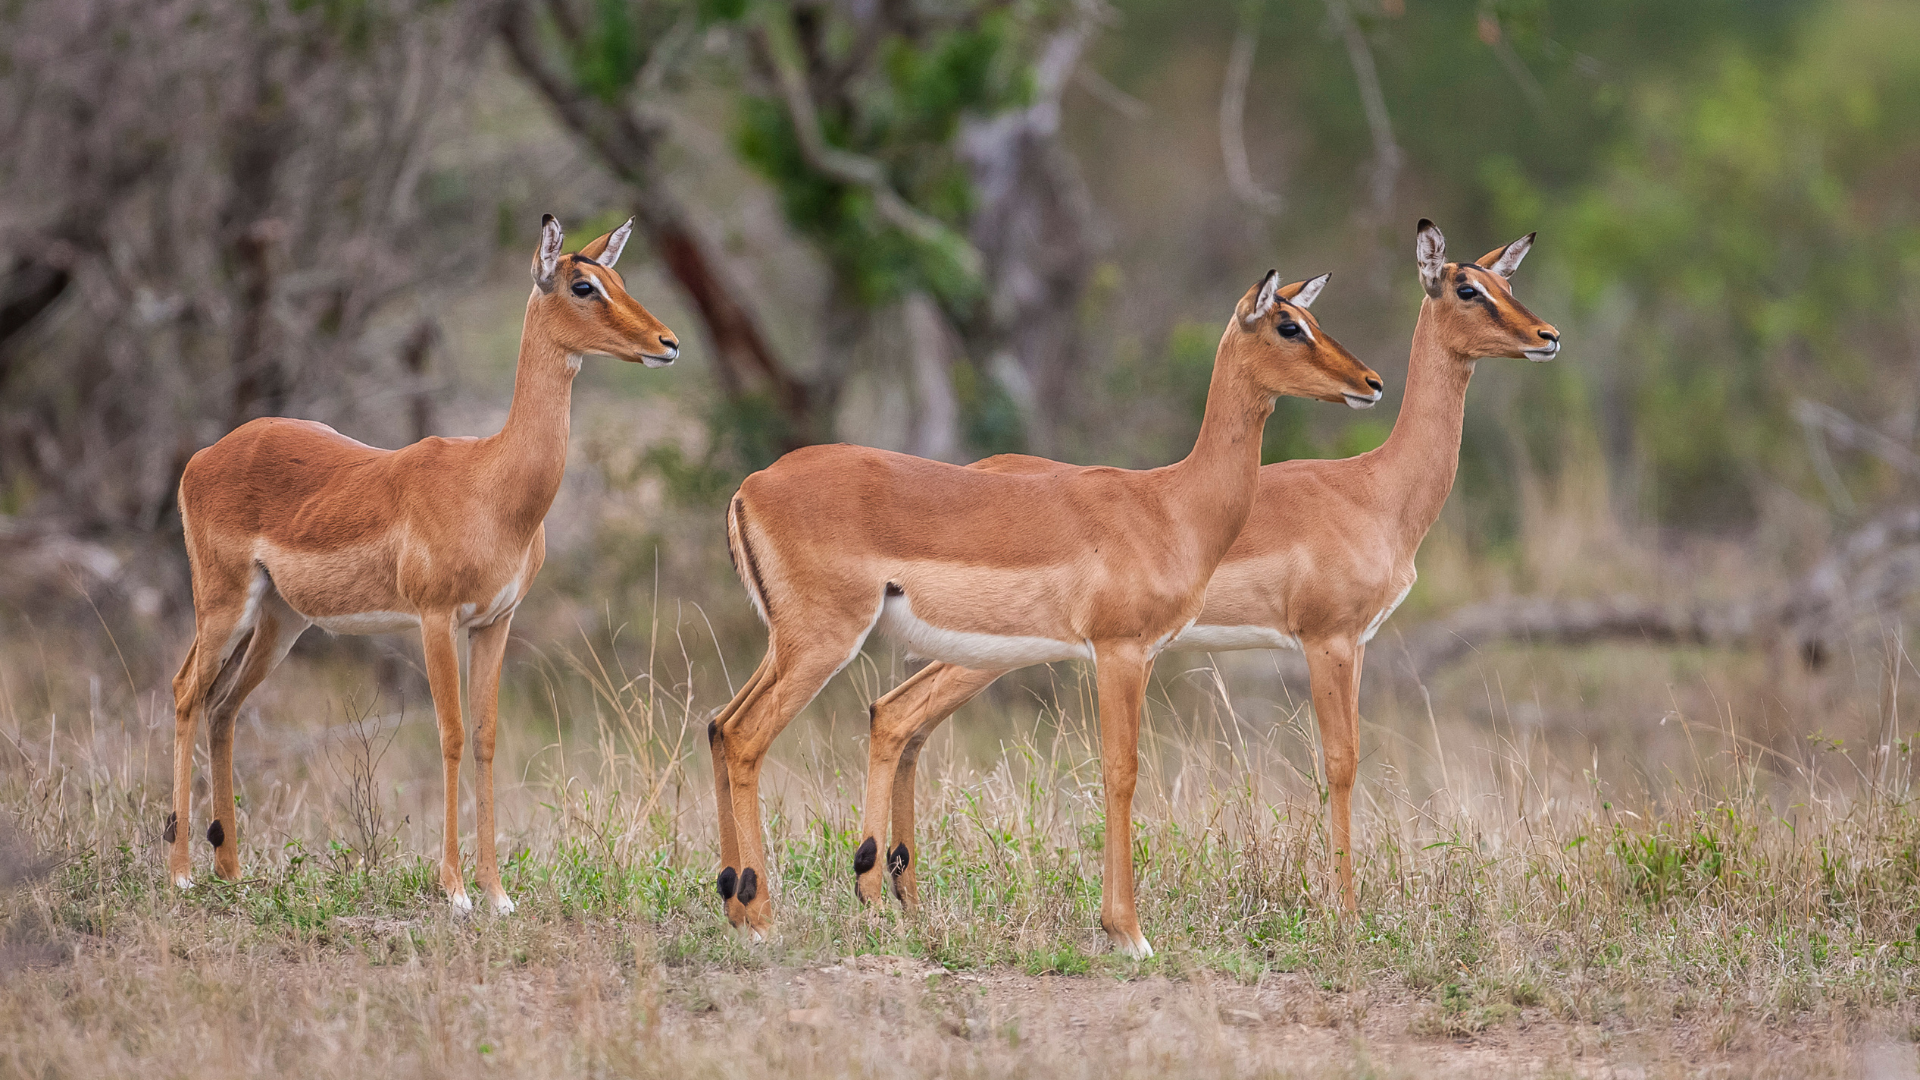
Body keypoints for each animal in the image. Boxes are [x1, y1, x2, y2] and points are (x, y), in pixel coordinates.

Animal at [167, 215, 678, 913]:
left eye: (618, 279)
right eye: (583, 285)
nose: (668, 342)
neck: (494, 484)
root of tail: (203, 456)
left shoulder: (495, 622)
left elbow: (487, 738)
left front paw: (497, 893)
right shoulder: (437, 619)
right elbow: (451, 734)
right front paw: (456, 890)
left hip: (279, 621)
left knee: (223, 708)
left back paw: (233, 872)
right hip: (222, 604)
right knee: (186, 693)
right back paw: (180, 874)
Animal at [708, 271, 1384, 957]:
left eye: (1313, 319)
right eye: (1288, 326)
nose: (1370, 382)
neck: (1169, 506)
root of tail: (752, 485)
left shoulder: (1135, 653)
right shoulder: (1120, 651)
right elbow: (1121, 772)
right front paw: (1128, 933)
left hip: (792, 647)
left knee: (721, 723)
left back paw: (738, 904)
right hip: (823, 643)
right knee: (745, 736)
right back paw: (763, 918)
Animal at [852, 220, 1559, 914]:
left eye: (1507, 283)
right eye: (1467, 289)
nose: (1547, 337)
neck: (1375, 490)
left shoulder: (1358, 642)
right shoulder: (1326, 639)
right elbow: (1340, 762)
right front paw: (1347, 914)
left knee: (905, 719)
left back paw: (903, 893)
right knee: (899, 717)